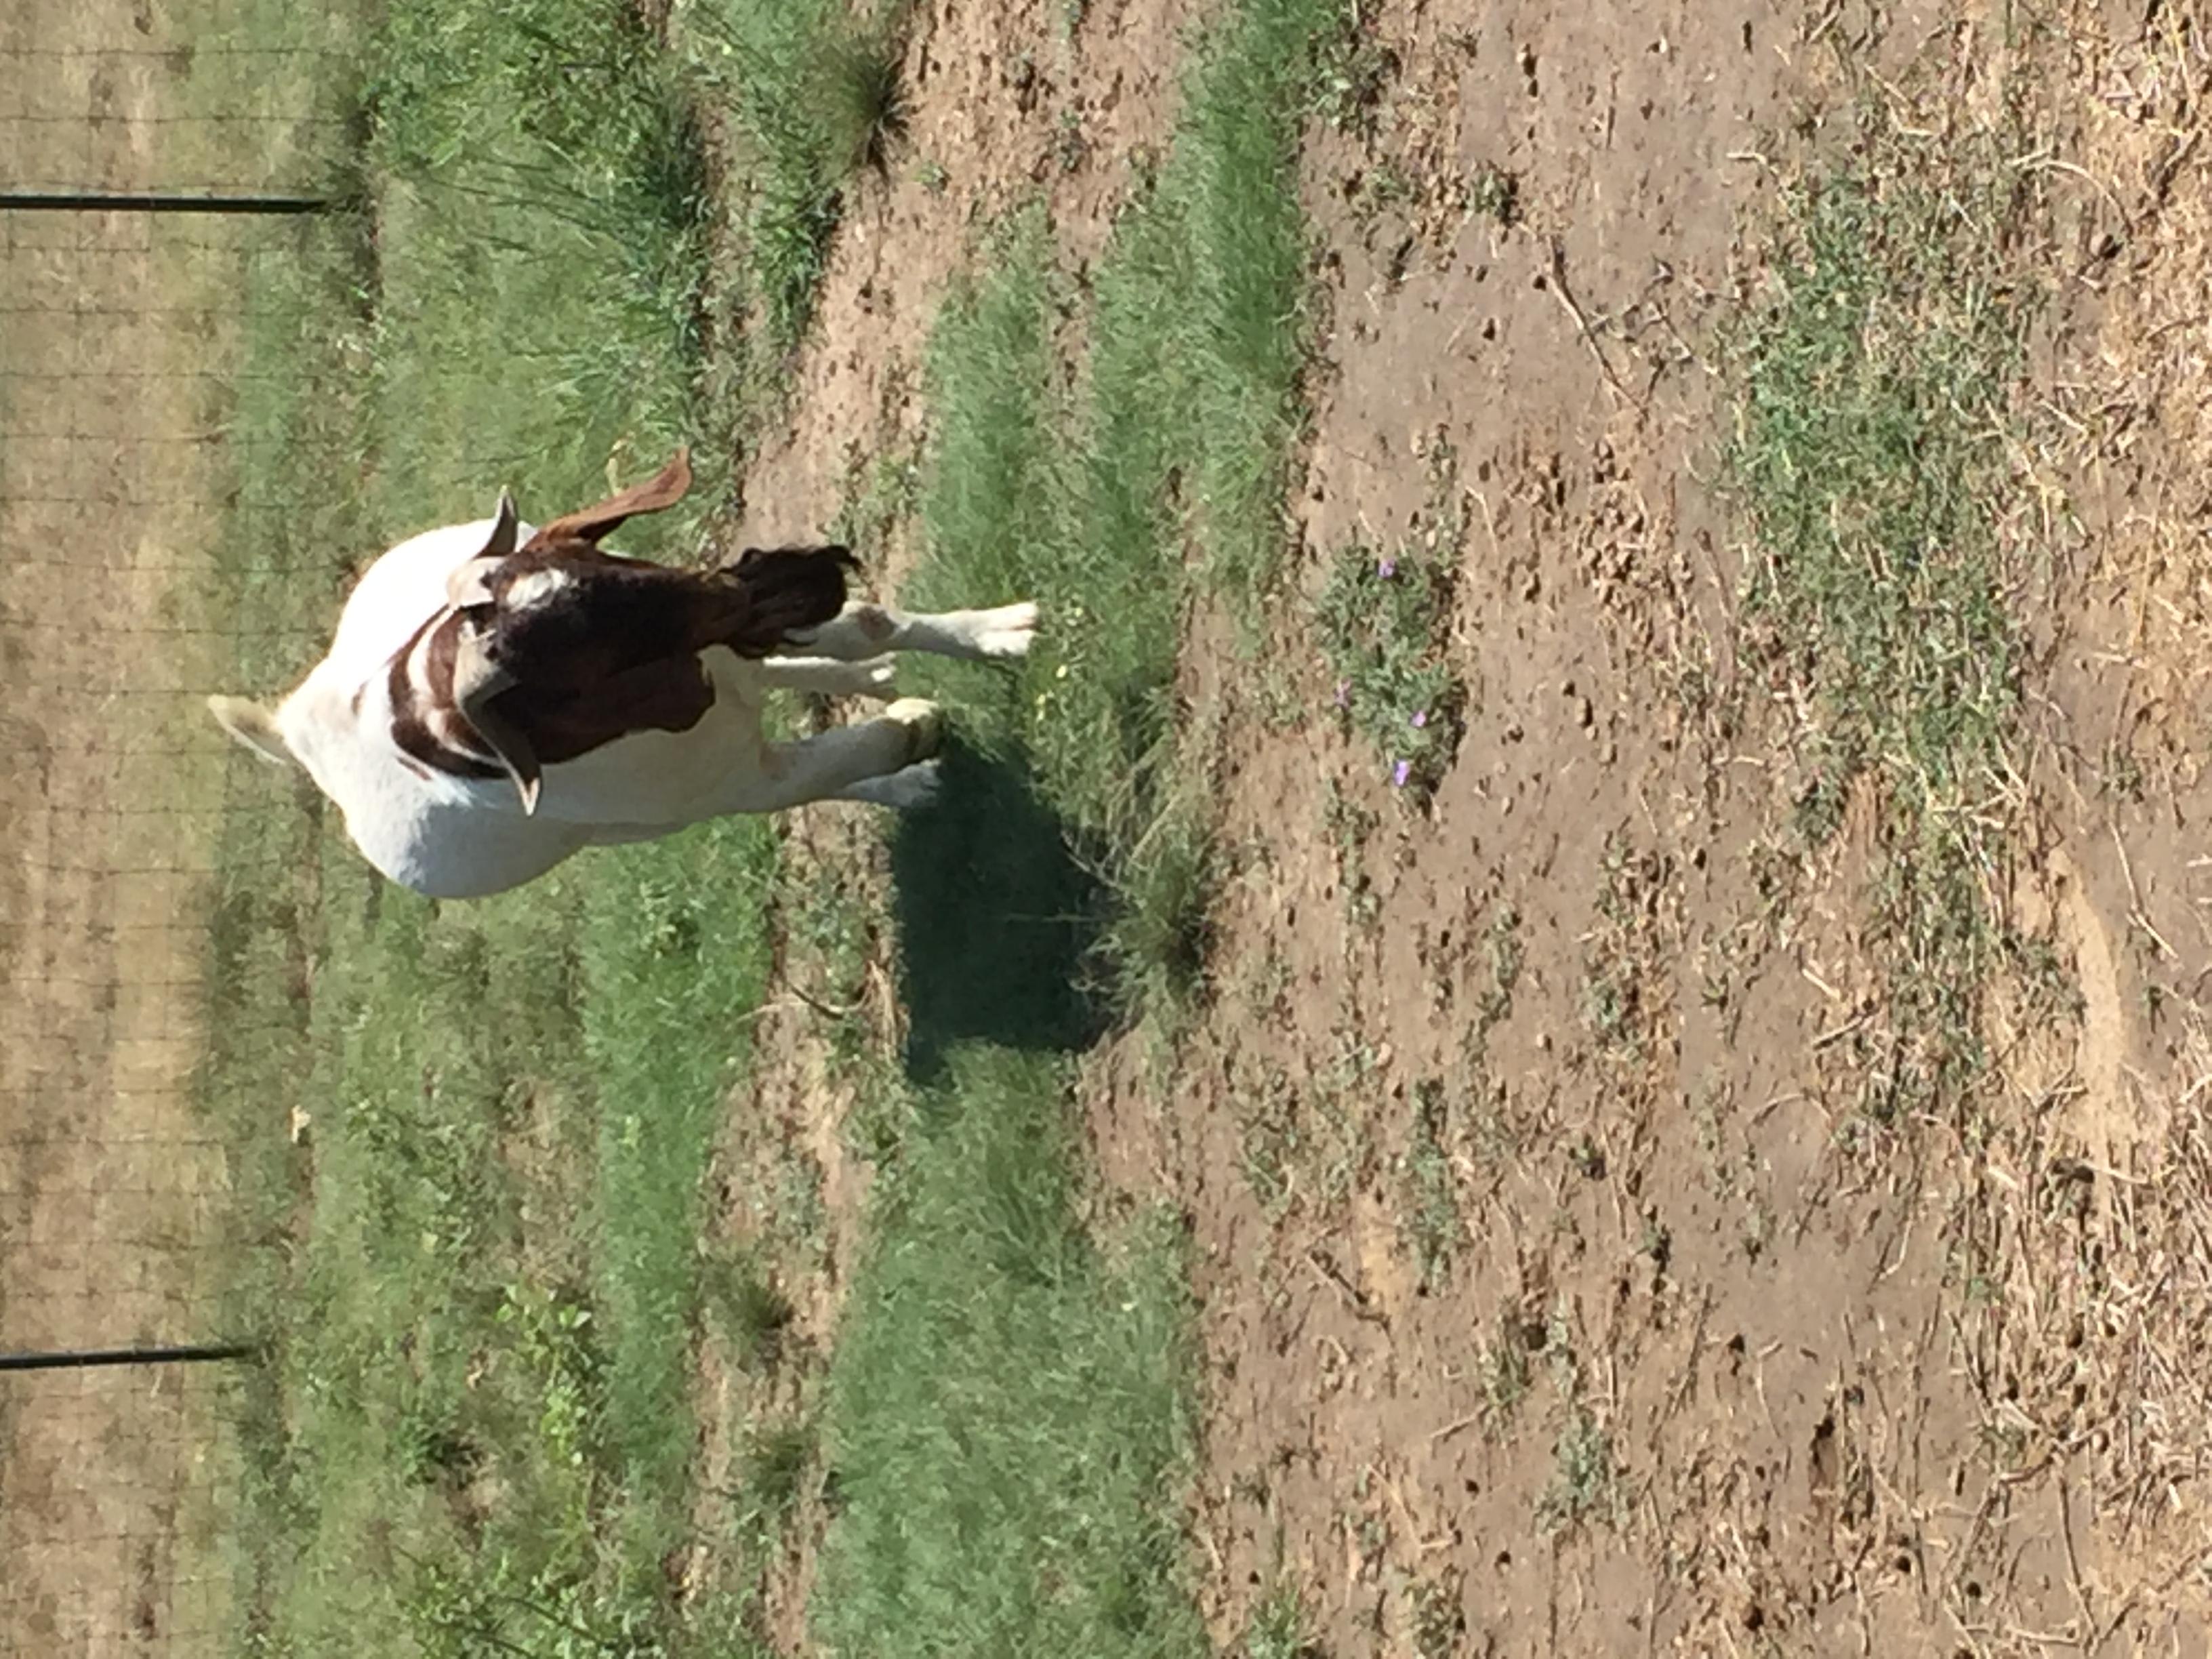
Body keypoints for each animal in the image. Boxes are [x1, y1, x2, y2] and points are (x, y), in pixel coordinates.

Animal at [206, 449, 1037, 898]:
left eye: (622, 565)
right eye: (605, 653)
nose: (806, 576)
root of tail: (294, 725)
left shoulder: (725, 644)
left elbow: (867, 628)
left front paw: (1001, 632)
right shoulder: (731, 777)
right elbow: (837, 758)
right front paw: (915, 733)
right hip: (624, 828)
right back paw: (908, 773)